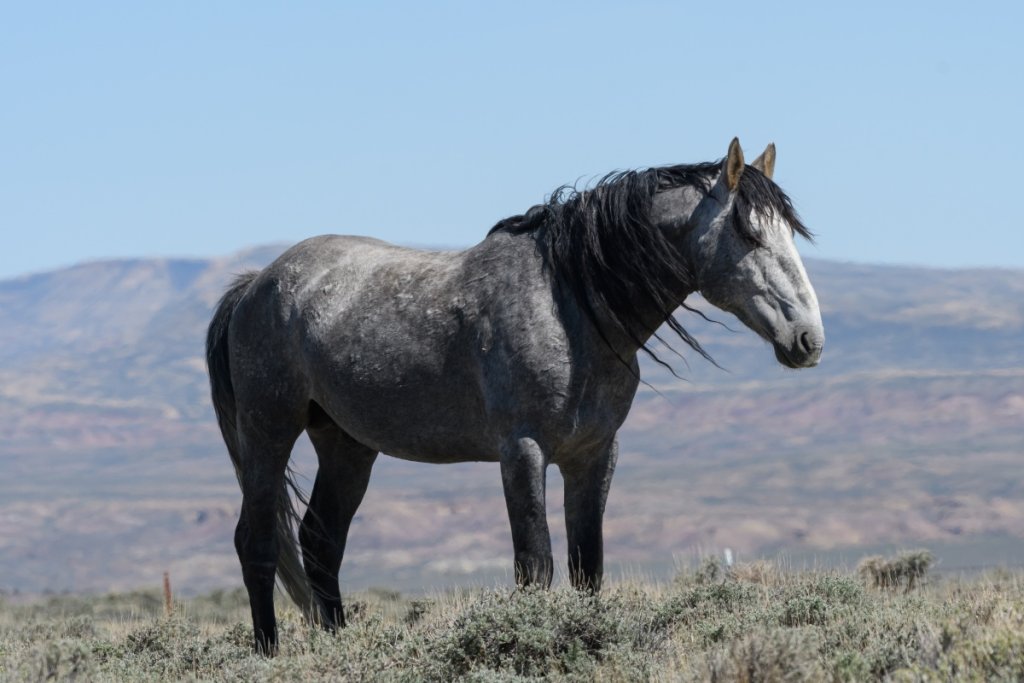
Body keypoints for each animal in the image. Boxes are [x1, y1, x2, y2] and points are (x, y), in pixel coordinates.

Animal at [206, 138, 824, 653]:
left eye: (790, 234)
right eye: (749, 233)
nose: (808, 339)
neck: (570, 305)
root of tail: (255, 285)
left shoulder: (594, 455)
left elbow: (587, 565)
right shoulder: (522, 452)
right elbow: (536, 565)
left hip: (346, 445)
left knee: (320, 542)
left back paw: (337, 647)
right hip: (269, 431)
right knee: (257, 542)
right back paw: (268, 652)